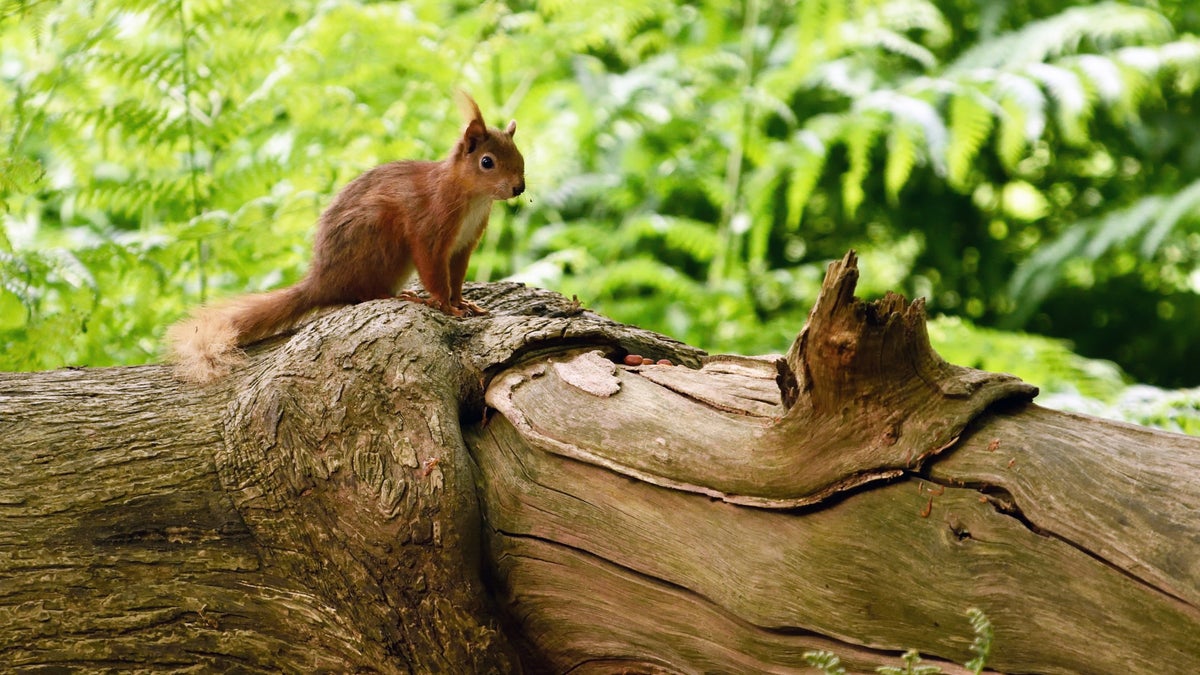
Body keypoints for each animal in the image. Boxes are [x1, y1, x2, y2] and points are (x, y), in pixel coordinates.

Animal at [166, 91, 525, 384]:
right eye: (487, 162)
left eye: (520, 158)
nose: (519, 188)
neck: (472, 197)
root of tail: (323, 281)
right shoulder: (430, 227)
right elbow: (433, 270)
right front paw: (446, 306)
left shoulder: (464, 244)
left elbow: (457, 277)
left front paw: (462, 303)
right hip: (377, 234)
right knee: (361, 293)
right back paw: (401, 297)